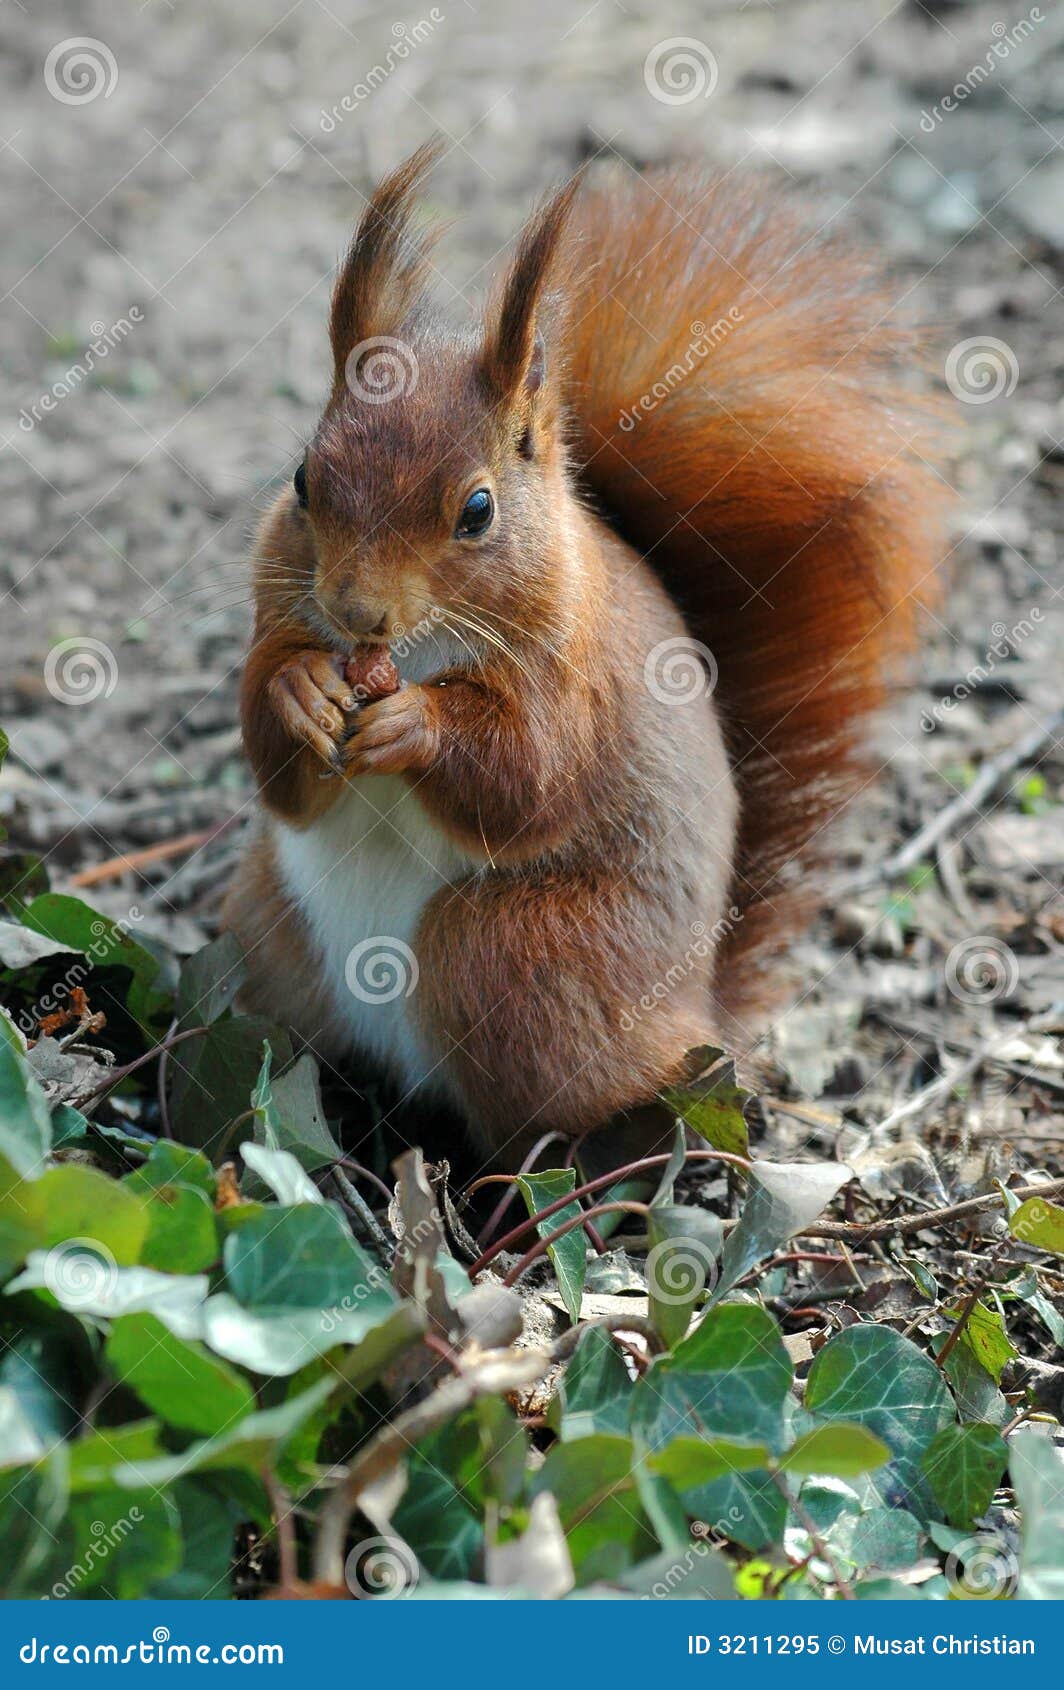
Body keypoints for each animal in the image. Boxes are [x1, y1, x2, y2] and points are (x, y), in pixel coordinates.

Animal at [222, 140, 949, 1165]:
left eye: (477, 510)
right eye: (301, 480)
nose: (355, 611)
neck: (421, 651)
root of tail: (697, 1010)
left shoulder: (579, 680)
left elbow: (529, 776)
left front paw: (415, 725)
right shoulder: (278, 617)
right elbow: (276, 766)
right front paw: (299, 692)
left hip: (517, 956)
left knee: (553, 1113)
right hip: (268, 924)